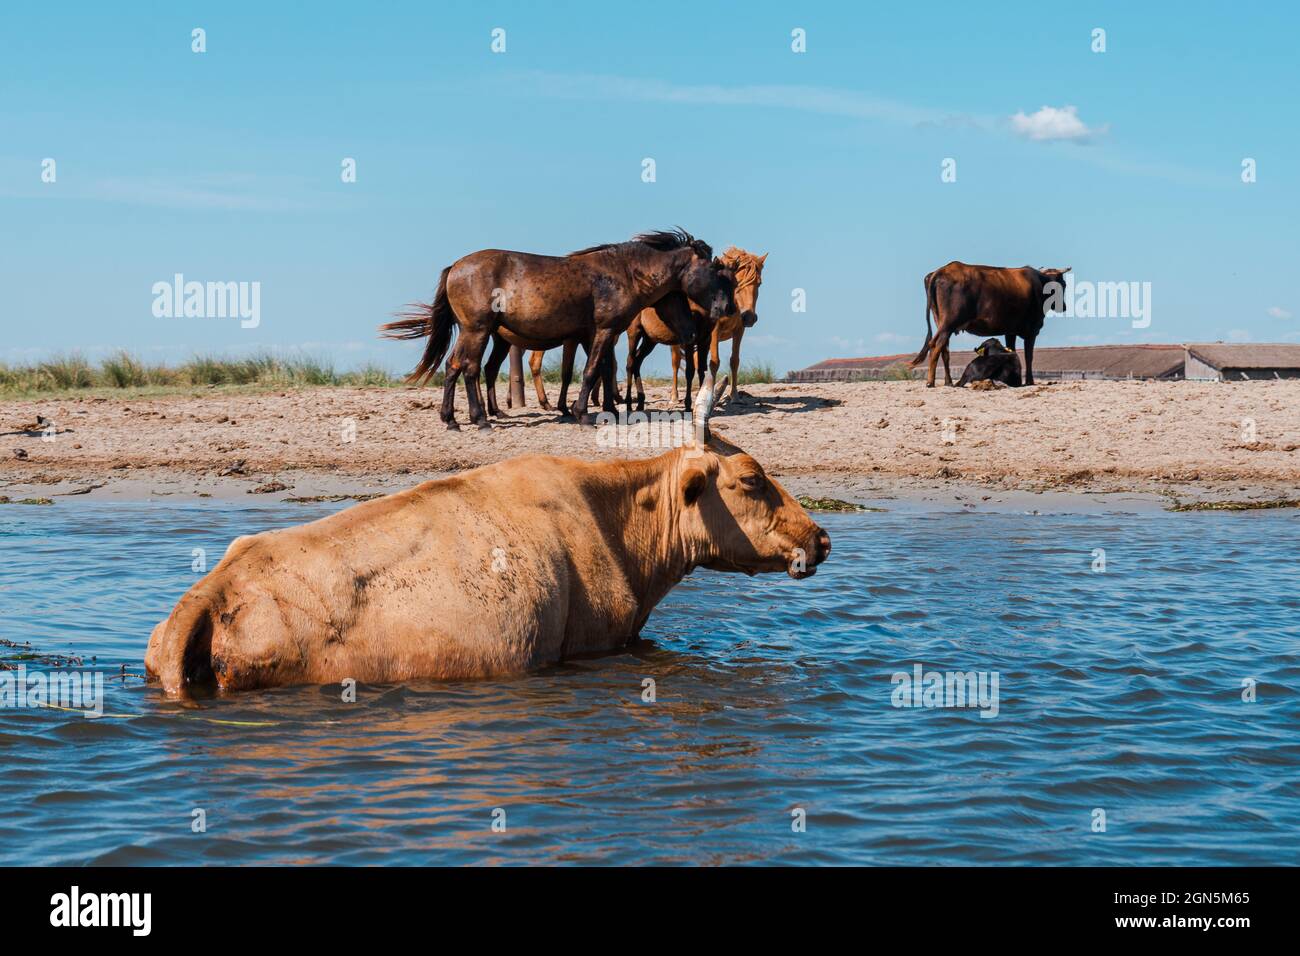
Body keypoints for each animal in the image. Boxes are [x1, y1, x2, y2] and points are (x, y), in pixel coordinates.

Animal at [379, 229, 736, 429]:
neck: (622, 273)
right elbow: (592, 371)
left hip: (473, 332)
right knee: (469, 368)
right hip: (477, 331)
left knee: (454, 367)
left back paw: (452, 419)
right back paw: (480, 419)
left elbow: (603, 370)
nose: (725, 310)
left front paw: (607, 408)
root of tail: (455, 266)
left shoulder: (595, 335)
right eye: (714, 272)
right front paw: (582, 414)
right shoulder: (603, 331)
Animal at [910, 262, 1071, 387]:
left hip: (942, 323)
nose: (1063, 307)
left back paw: (948, 382)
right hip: (948, 324)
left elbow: (1012, 349)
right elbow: (1028, 356)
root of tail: (940, 271)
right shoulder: (1031, 331)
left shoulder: (1010, 331)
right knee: (936, 347)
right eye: (1063, 284)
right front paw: (1030, 381)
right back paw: (930, 382)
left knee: (944, 350)